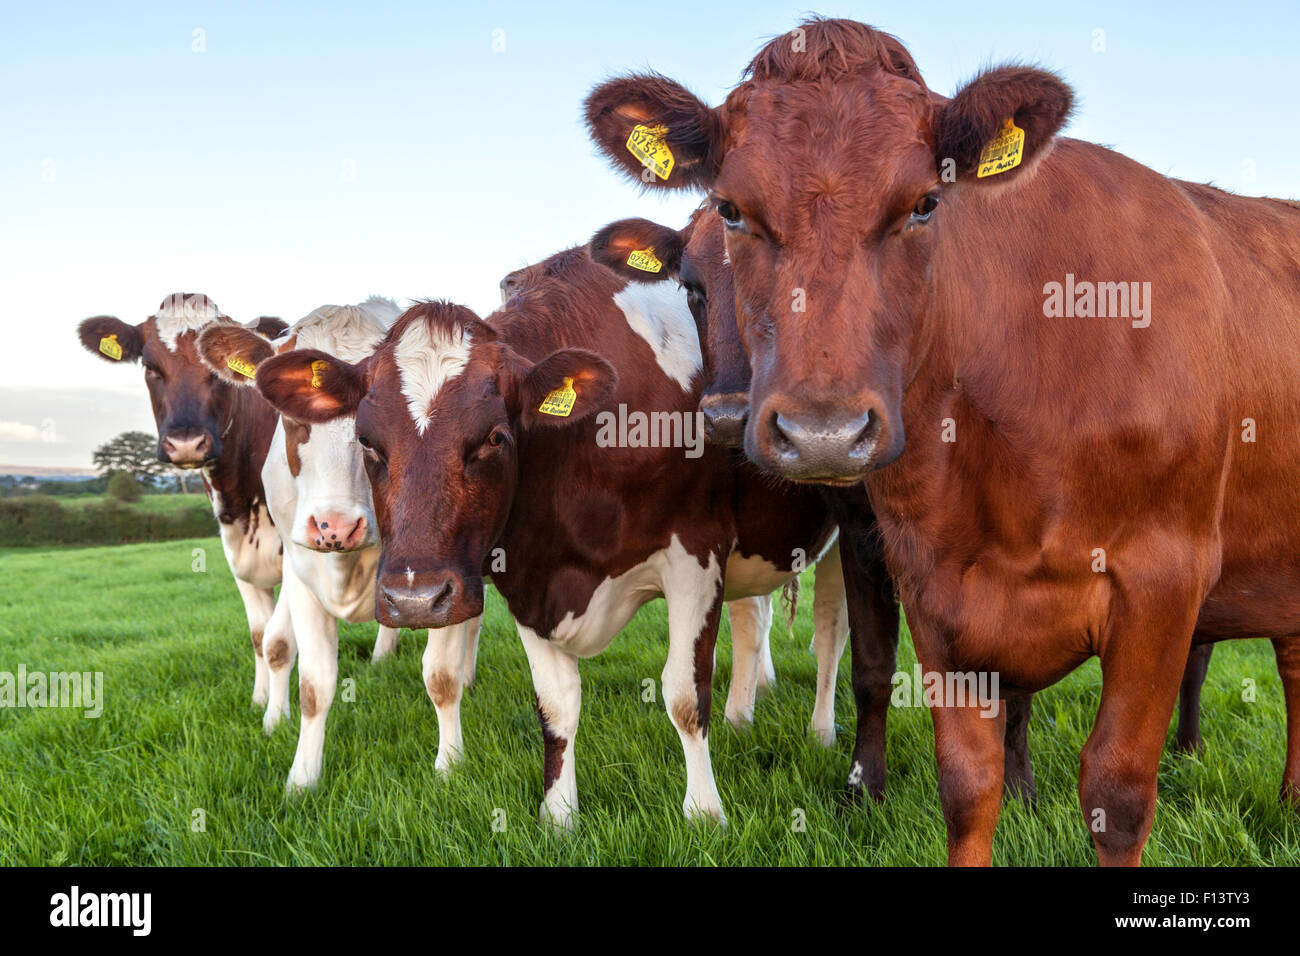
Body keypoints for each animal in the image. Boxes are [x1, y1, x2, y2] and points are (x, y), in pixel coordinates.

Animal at [78, 293, 291, 717]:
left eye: (218, 367)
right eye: (149, 365)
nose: (187, 443)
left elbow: (279, 641)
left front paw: (278, 717)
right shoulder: (237, 552)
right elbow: (259, 634)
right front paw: (259, 700)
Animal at [197, 297, 482, 785]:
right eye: (288, 411)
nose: (334, 525)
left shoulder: (448, 573)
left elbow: (441, 678)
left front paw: (450, 767)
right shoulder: (298, 570)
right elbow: (313, 682)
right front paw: (302, 777)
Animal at [250, 249, 848, 828]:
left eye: (495, 437)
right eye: (368, 442)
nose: (414, 599)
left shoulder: (695, 556)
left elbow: (683, 693)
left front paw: (704, 813)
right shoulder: (527, 575)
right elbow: (557, 704)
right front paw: (559, 816)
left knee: (829, 634)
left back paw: (821, 733)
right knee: (753, 623)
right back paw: (741, 717)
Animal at [583, 17, 1300, 864]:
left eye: (925, 203)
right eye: (730, 210)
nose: (822, 432)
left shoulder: (1165, 578)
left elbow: (1117, 792)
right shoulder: (924, 574)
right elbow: (954, 770)